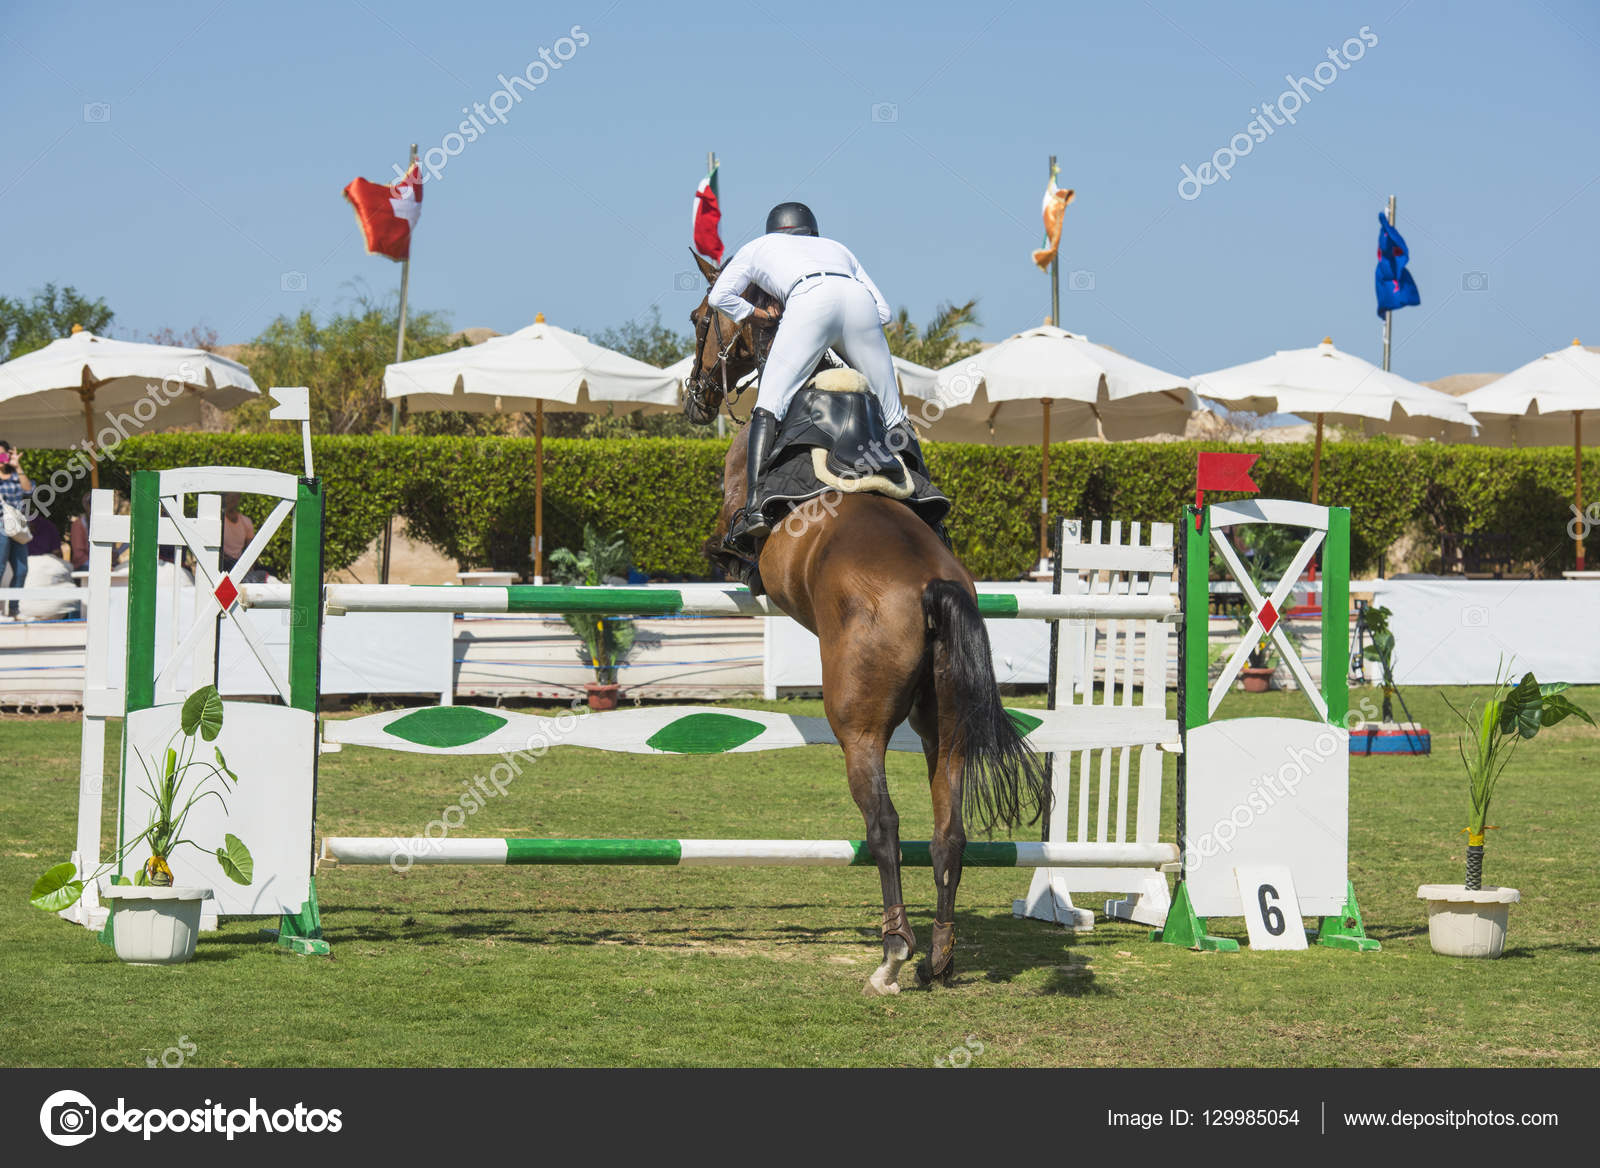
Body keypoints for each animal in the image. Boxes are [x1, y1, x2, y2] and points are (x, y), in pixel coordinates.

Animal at [684, 253, 1048, 994]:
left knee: (883, 823)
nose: (695, 399)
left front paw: (734, 556)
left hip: (857, 723)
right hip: (946, 725)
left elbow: (725, 539)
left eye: (703, 317)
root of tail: (933, 585)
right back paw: (939, 956)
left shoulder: (732, 497)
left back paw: (892, 955)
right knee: (947, 830)